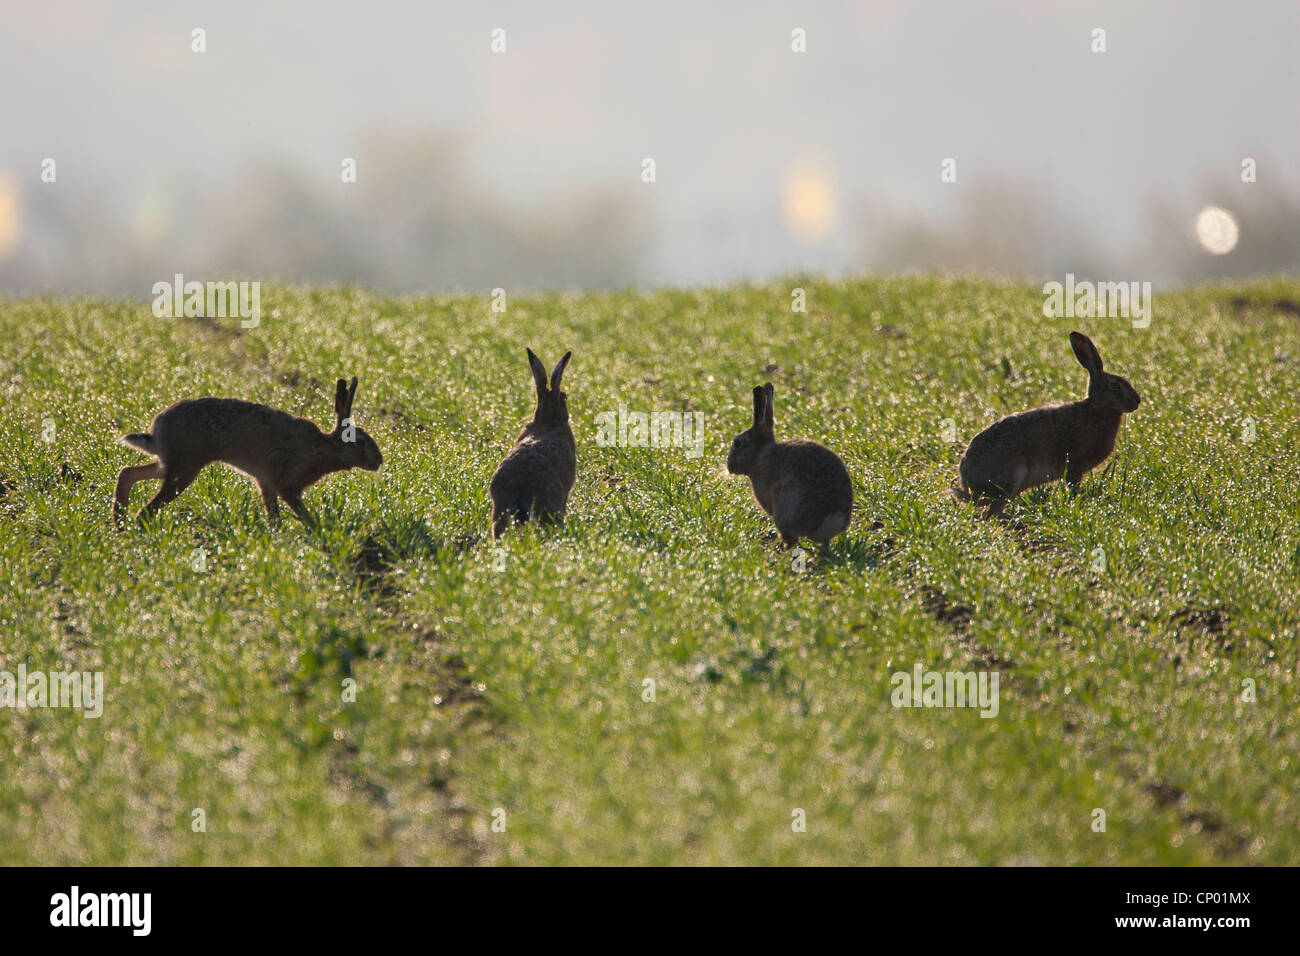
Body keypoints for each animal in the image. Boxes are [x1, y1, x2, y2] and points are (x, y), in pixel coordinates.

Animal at [114, 376, 382, 526]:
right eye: (360, 442)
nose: (379, 462)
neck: (324, 447)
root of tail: (157, 427)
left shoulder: (266, 483)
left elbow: (273, 516)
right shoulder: (287, 484)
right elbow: (298, 511)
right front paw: (315, 530)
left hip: (170, 463)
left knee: (127, 473)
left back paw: (119, 523)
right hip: (185, 468)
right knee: (146, 509)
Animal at [726, 382, 853, 549]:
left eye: (737, 443)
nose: (729, 466)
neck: (759, 454)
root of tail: (832, 517)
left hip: (785, 511)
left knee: (791, 539)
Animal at [957, 331, 1140, 513]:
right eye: (1115, 385)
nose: (1137, 401)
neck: (1096, 408)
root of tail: (968, 481)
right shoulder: (1074, 466)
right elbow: (1073, 488)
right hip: (1011, 478)